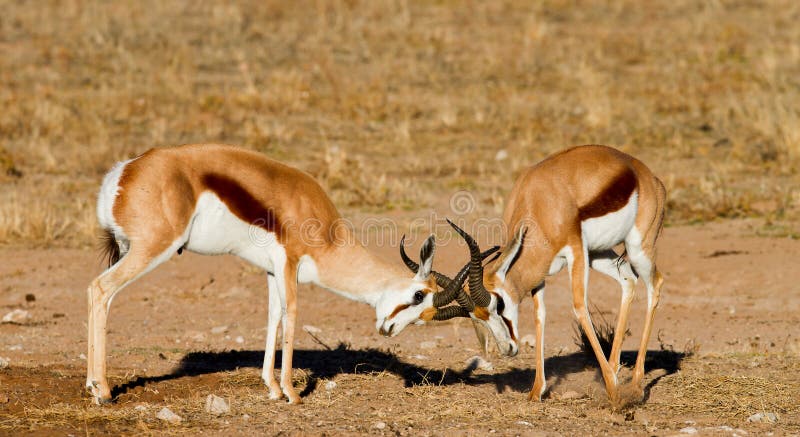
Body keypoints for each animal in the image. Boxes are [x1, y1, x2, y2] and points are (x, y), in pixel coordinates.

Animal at [87, 143, 477, 405]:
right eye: (417, 296)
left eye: (425, 314)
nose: (388, 330)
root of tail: (123, 173)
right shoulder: (289, 262)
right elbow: (292, 315)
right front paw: (292, 393)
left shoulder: (272, 271)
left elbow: (273, 317)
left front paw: (273, 389)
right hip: (152, 249)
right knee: (100, 289)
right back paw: (103, 391)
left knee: (97, 293)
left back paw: (93, 385)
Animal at [436, 145, 666, 406]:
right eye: (477, 318)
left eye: (499, 304)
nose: (507, 349)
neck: (538, 200)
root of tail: (649, 177)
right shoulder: (541, 273)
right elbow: (540, 316)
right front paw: (537, 391)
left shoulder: (576, 251)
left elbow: (579, 307)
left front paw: (614, 393)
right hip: (599, 254)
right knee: (628, 279)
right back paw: (615, 370)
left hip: (637, 249)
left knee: (655, 284)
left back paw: (634, 386)